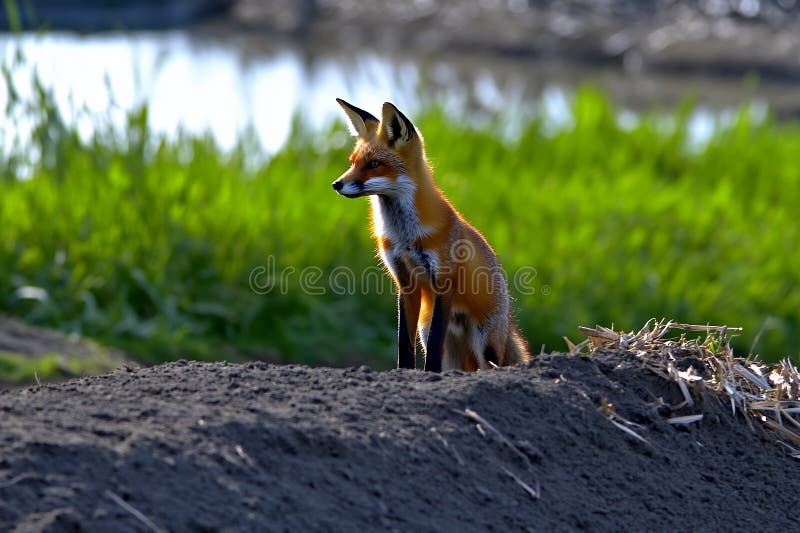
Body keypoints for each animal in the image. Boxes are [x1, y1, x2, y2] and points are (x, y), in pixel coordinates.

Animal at [332, 98, 530, 372]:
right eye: (352, 162)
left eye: (374, 164)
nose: (336, 184)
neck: (404, 235)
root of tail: (509, 320)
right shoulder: (405, 283)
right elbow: (404, 341)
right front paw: (405, 371)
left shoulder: (443, 282)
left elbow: (435, 343)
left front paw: (430, 373)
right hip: (430, 333)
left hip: (484, 342)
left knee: (489, 365)